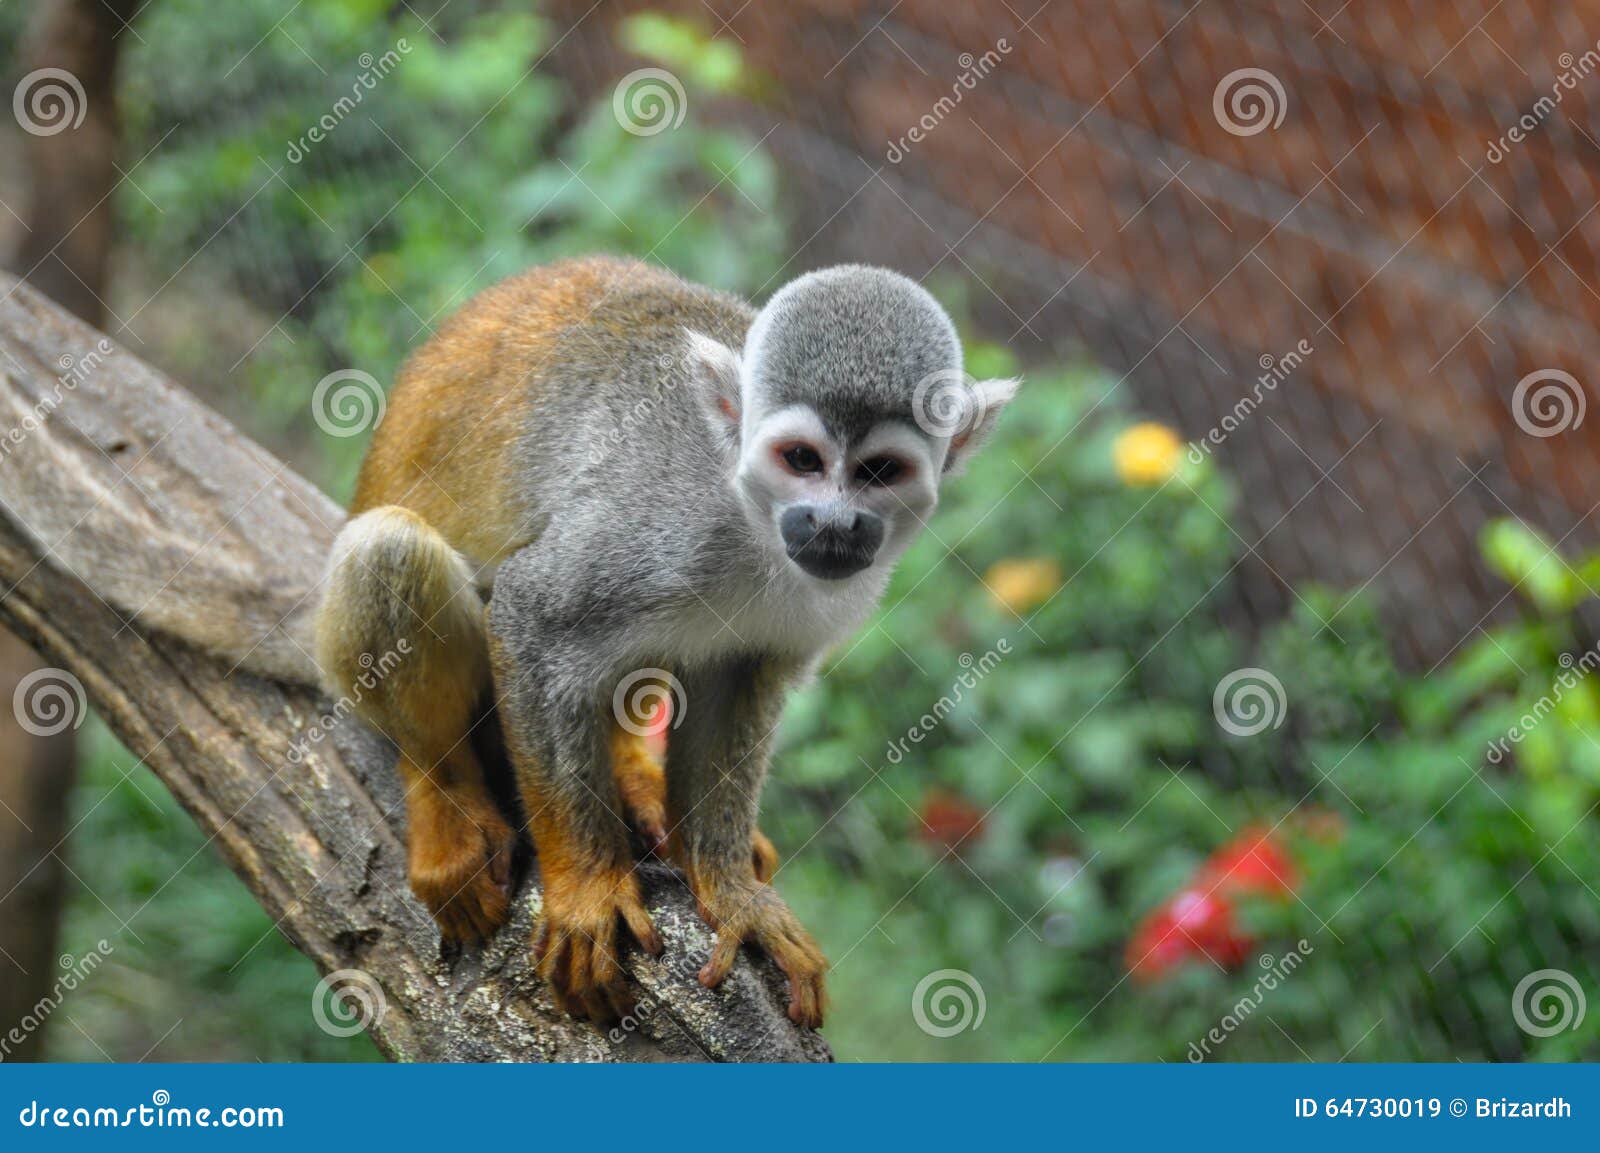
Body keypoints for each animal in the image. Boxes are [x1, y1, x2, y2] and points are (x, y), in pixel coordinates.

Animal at [312, 256, 1018, 1028]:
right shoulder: (660, 527)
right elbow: (533, 614)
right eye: (802, 459)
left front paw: (731, 889)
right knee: (390, 546)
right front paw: (587, 890)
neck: (749, 517)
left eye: (880, 472)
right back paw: (441, 790)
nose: (834, 524)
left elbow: (743, 680)